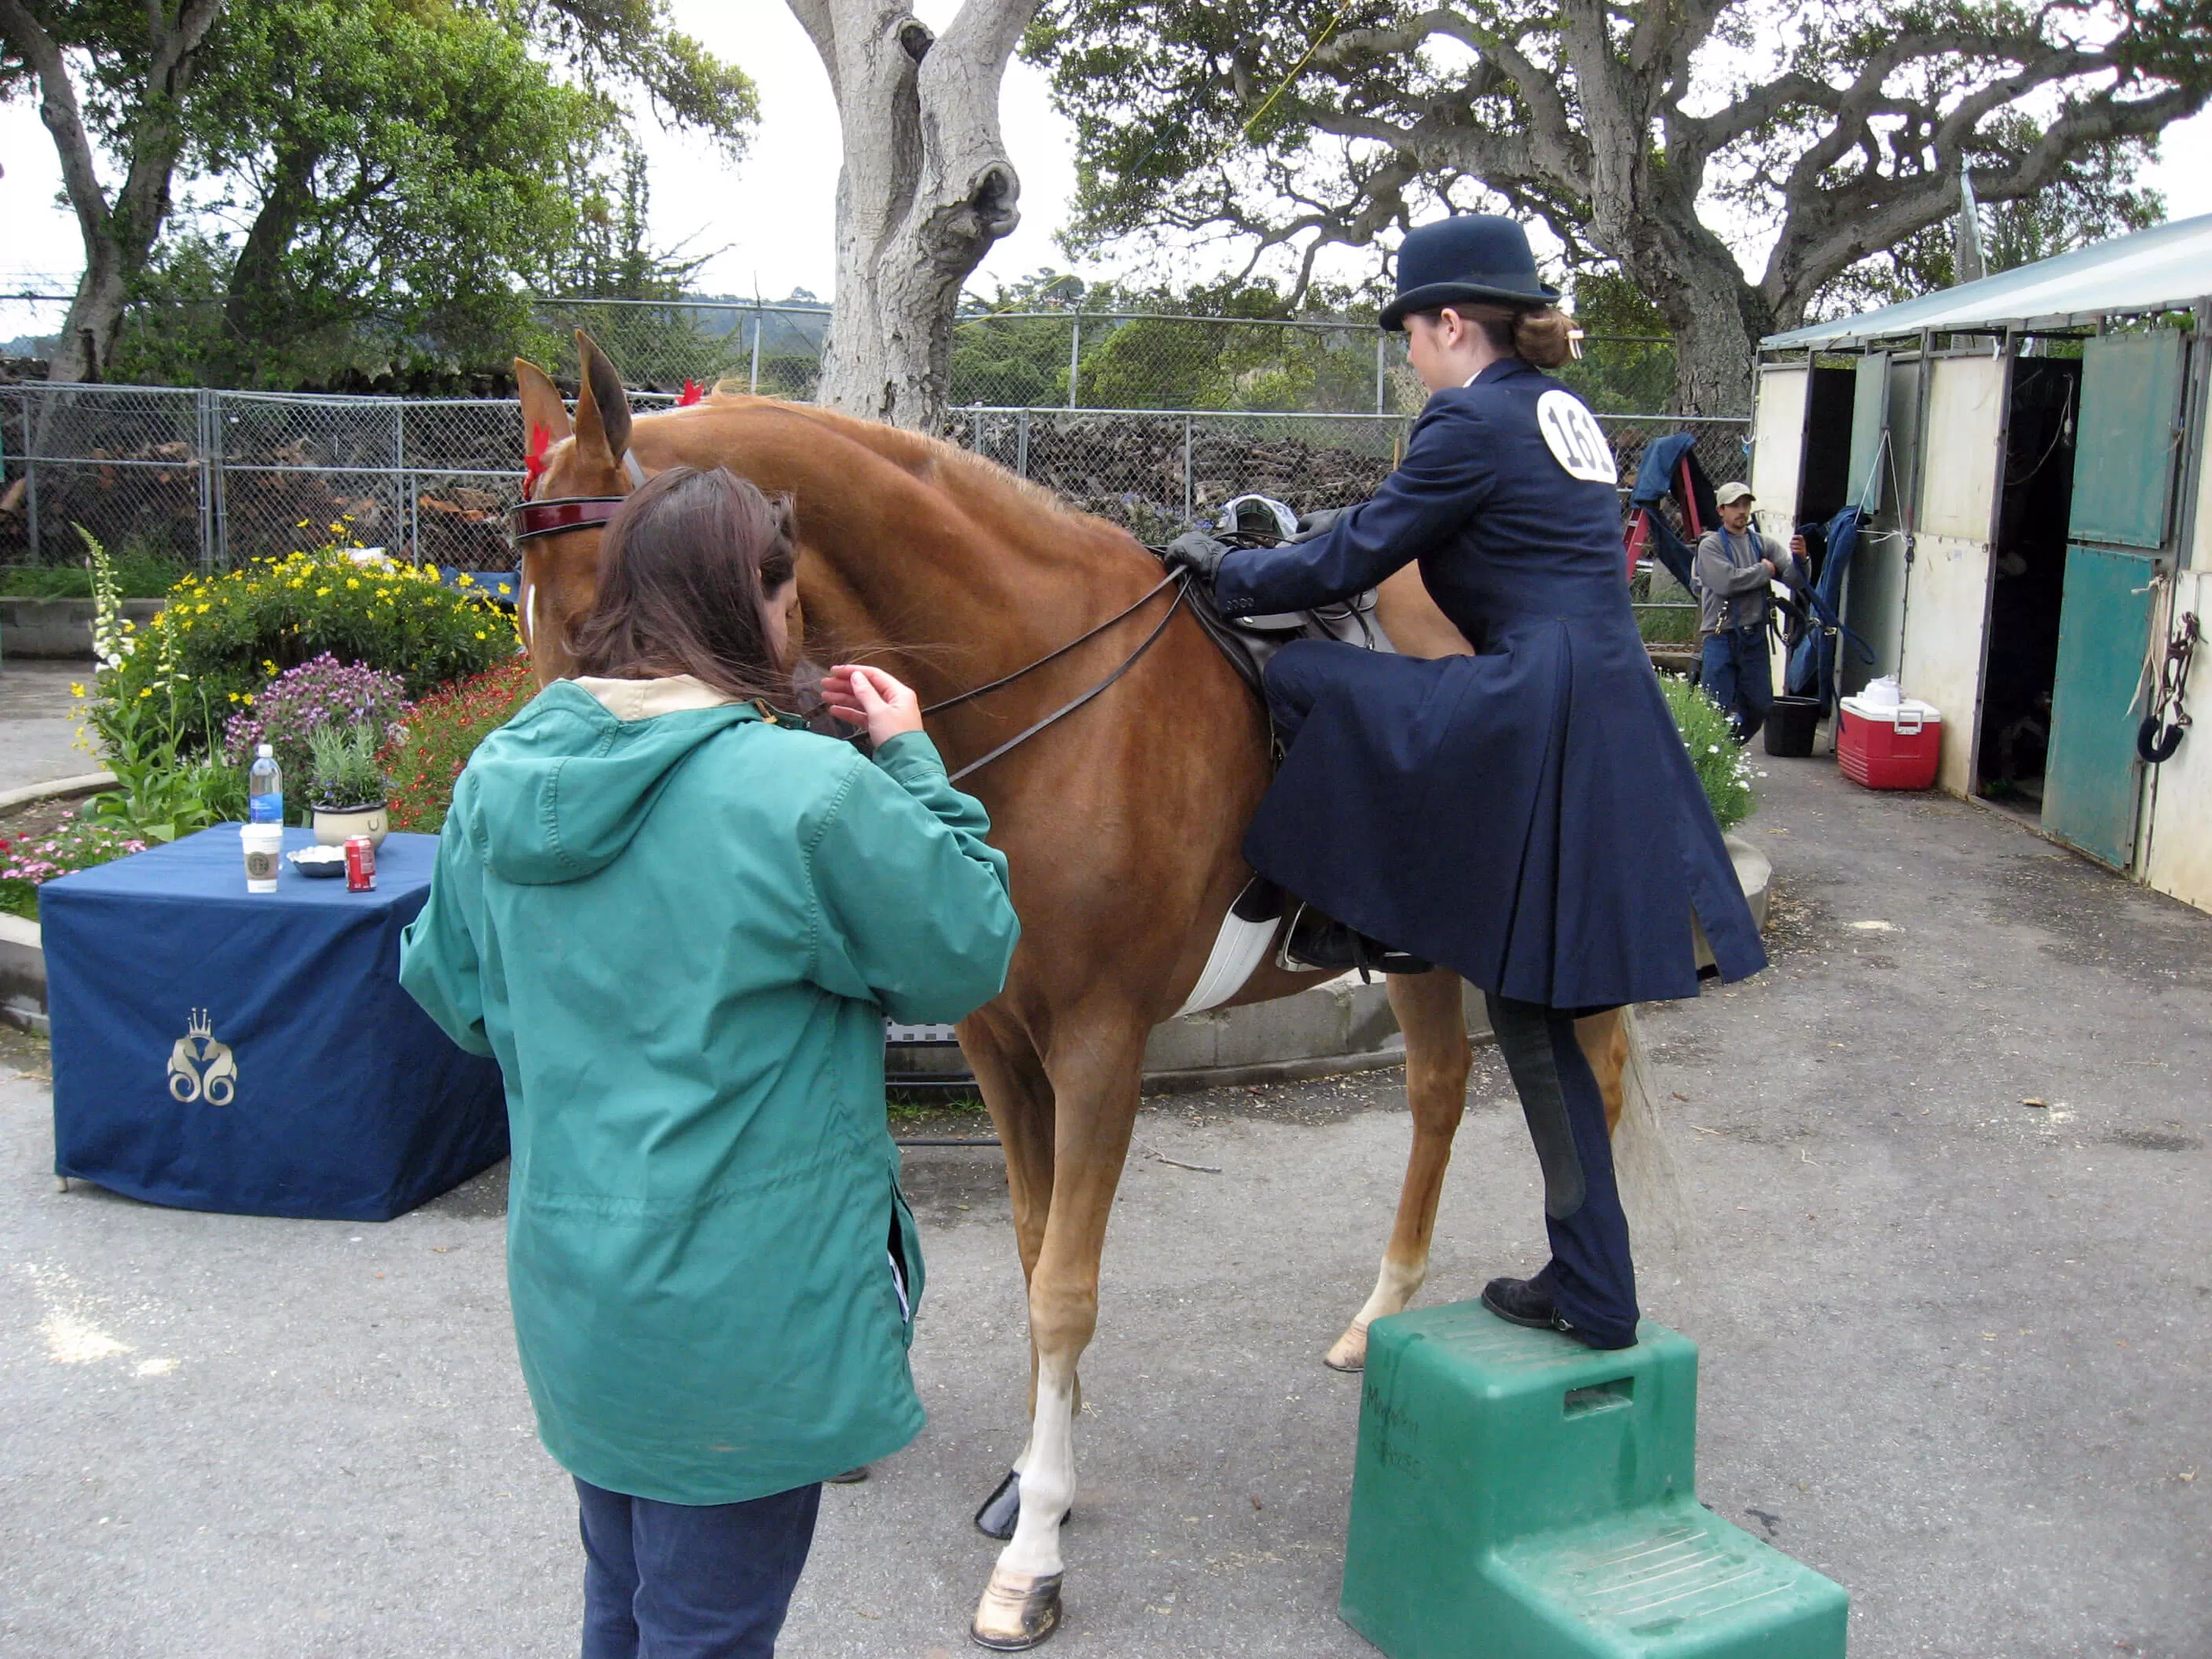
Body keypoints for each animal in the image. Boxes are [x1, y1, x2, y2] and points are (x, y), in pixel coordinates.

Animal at [506, 334, 1646, 1654]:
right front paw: (1034, 1469)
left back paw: (1583, 1306)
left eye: (598, 619)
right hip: (1421, 956)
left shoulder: (1102, 1048)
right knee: (1441, 1089)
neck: (1048, 701)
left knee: (1590, 1082)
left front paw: (1036, 1551)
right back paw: (1382, 1316)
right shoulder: (997, 1040)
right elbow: (1031, 1242)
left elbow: (1064, 1289)